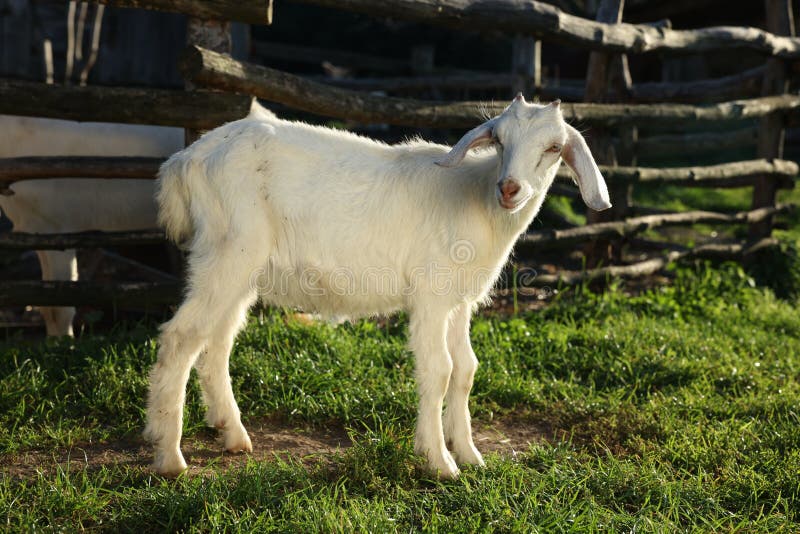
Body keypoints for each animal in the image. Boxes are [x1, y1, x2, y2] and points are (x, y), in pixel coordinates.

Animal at [144, 95, 610, 478]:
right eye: (499, 140)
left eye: (553, 148)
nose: (509, 188)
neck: (475, 199)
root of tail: (185, 159)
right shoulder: (430, 296)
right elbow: (440, 370)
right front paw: (439, 461)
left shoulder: (458, 302)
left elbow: (466, 369)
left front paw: (470, 454)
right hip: (226, 252)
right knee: (182, 338)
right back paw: (169, 455)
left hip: (241, 267)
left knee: (217, 342)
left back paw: (232, 435)